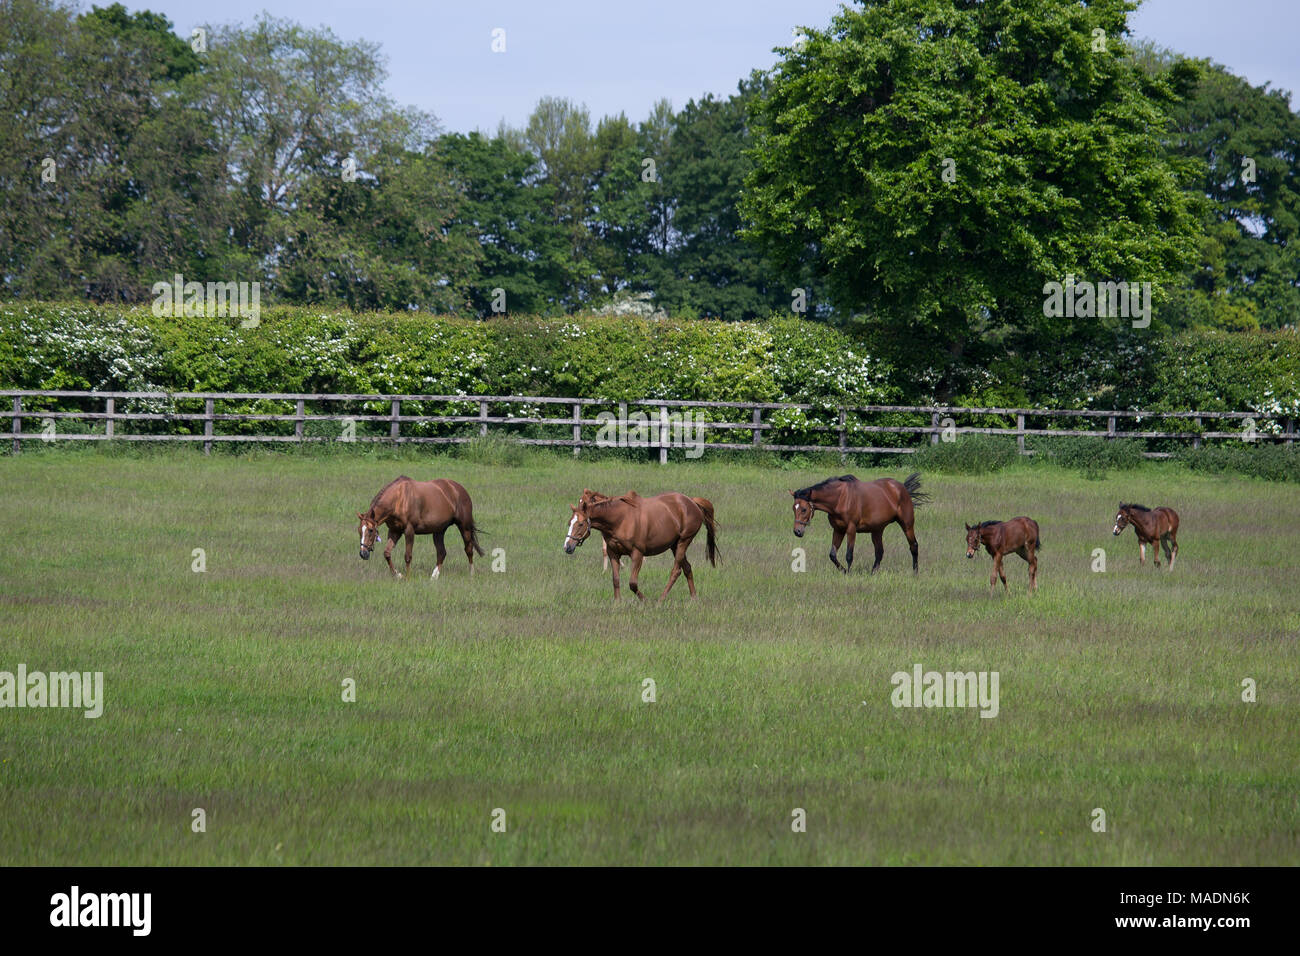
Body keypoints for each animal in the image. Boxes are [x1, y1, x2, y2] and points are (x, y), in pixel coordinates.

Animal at [356, 476, 485, 579]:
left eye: (371, 530)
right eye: (359, 531)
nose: (363, 554)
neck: (399, 498)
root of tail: (459, 489)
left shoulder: (409, 531)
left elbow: (408, 556)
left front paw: (408, 577)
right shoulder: (394, 531)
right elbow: (387, 553)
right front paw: (398, 575)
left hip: (464, 527)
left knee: (468, 549)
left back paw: (471, 574)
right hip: (439, 531)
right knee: (441, 553)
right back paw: (434, 577)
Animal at [563, 489, 719, 600]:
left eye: (580, 524)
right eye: (570, 522)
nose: (567, 547)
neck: (620, 520)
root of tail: (692, 502)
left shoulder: (637, 554)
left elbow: (632, 583)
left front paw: (645, 601)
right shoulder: (614, 553)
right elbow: (616, 580)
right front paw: (617, 603)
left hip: (683, 542)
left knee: (676, 571)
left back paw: (660, 600)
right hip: (674, 545)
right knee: (687, 568)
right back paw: (694, 598)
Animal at [789, 473, 929, 574]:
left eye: (804, 509)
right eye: (793, 508)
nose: (797, 531)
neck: (840, 498)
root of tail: (902, 488)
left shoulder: (851, 529)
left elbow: (849, 555)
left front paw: (849, 573)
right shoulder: (838, 530)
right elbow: (832, 555)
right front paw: (844, 571)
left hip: (907, 525)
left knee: (913, 546)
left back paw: (915, 573)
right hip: (877, 530)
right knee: (879, 552)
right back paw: (873, 573)